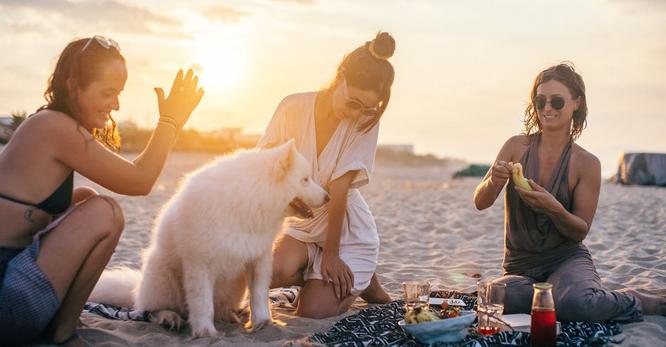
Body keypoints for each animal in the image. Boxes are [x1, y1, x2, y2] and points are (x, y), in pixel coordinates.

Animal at [89, 141, 328, 338]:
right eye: (305, 180)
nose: (328, 197)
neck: (249, 200)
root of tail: (137, 287)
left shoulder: (258, 259)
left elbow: (259, 296)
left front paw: (264, 324)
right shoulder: (199, 263)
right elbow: (202, 303)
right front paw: (205, 333)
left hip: (235, 287)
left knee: (220, 307)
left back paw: (229, 315)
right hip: (163, 279)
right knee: (149, 309)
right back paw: (168, 317)